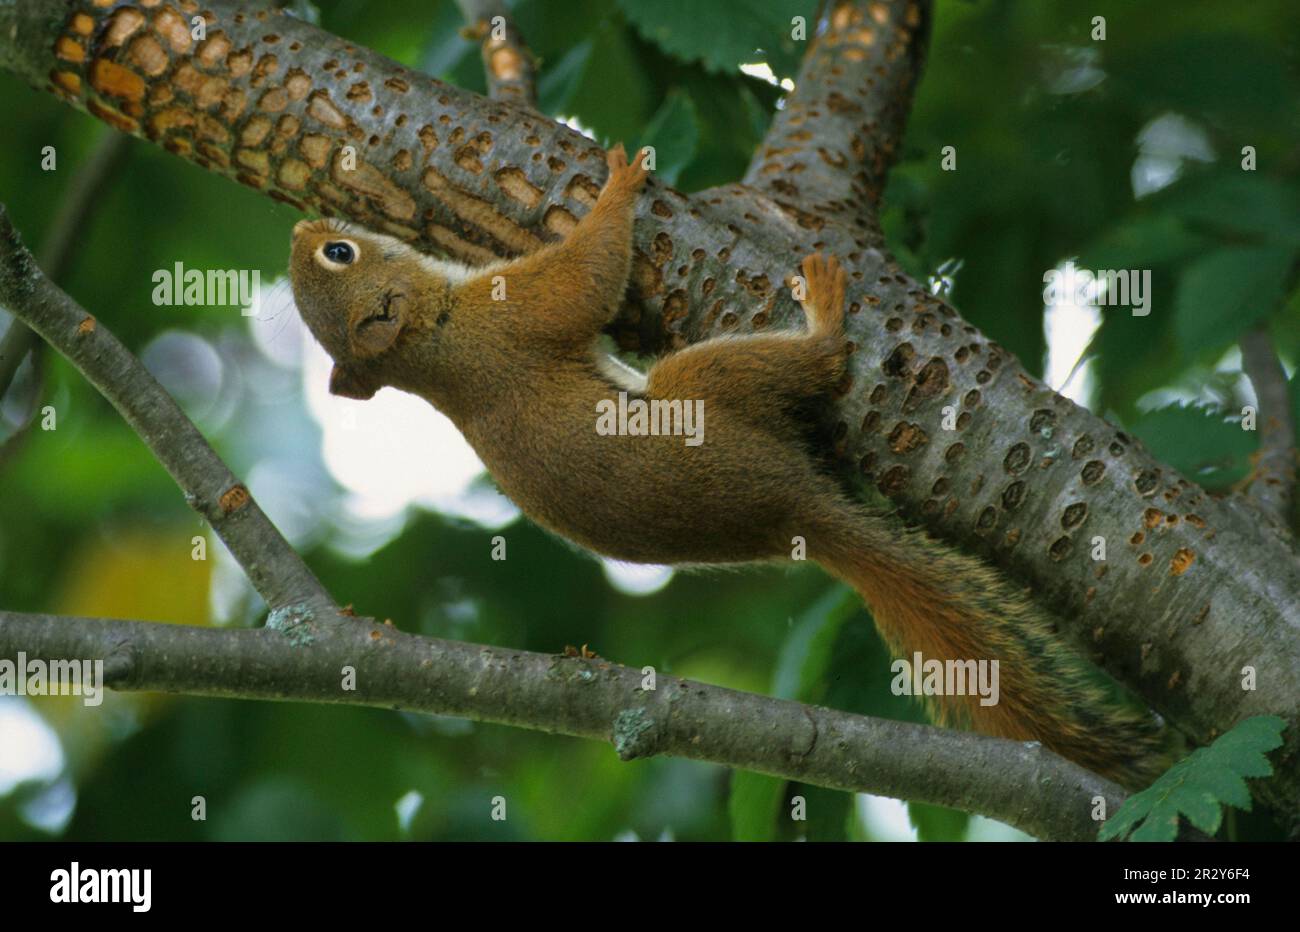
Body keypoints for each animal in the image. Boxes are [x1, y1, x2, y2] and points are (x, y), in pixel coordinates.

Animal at [289, 143, 1169, 789]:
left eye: (334, 251)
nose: (303, 228)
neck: (432, 344)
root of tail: (793, 507)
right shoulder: (517, 315)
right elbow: (588, 275)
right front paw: (617, 185)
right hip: (702, 386)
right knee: (804, 365)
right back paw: (824, 317)